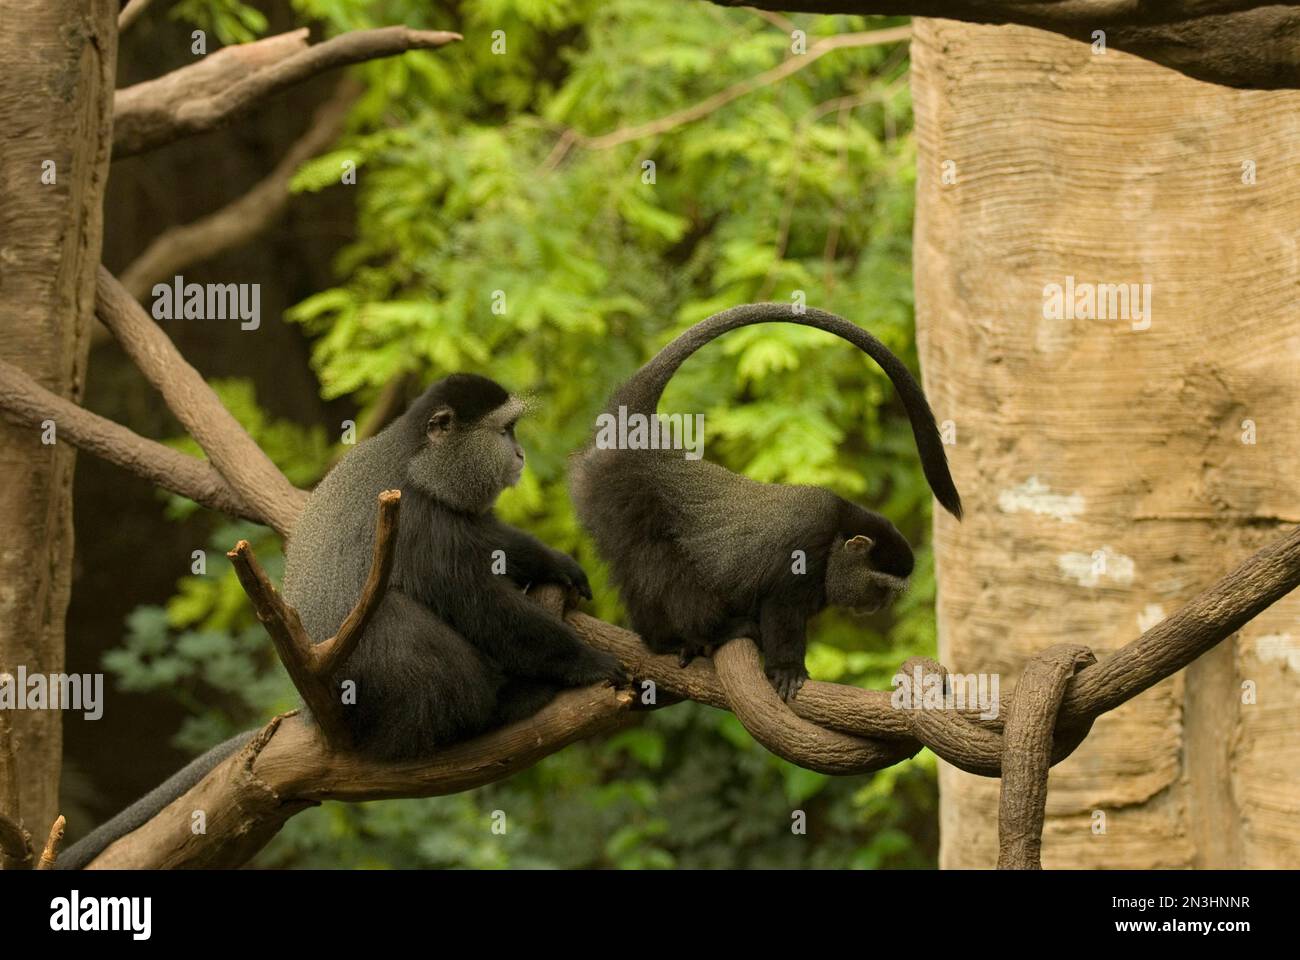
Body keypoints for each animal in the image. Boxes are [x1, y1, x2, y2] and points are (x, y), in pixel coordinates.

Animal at [59, 373, 621, 869]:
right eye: (505, 432)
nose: (520, 455)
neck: (418, 460)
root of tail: (313, 713)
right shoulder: (416, 516)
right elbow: (480, 602)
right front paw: (590, 661)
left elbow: (492, 545)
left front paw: (555, 563)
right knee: (398, 620)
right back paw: (497, 708)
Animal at [570, 302, 961, 702]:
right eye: (880, 587)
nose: (877, 606)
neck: (838, 528)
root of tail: (644, 437)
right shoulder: (806, 545)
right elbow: (781, 608)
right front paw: (787, 669)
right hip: (622, 503)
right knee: (659, 566)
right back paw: (684, 636)